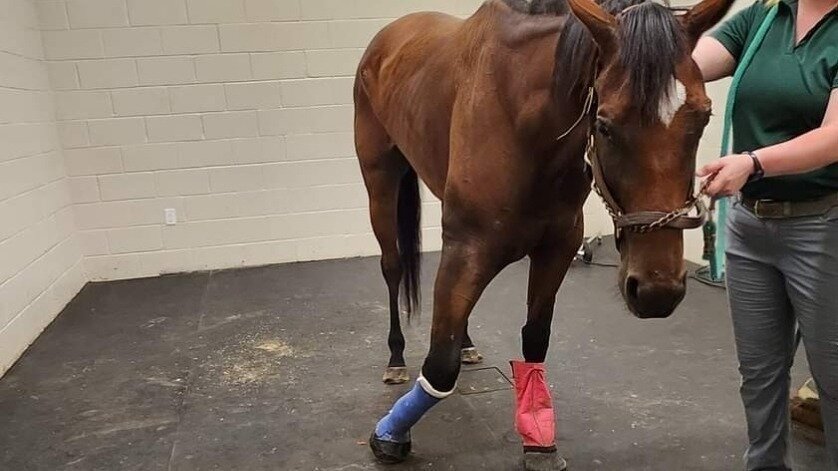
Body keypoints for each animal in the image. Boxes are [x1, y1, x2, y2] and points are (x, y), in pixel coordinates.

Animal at [354, 0, 731, 467]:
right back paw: (395, 357)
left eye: (704, 117)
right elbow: (439, 364)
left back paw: (467, 342)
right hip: (380, 182)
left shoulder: (557, 249)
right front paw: (390, 434)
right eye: (605, 125)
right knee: (391, 267)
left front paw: (537, 437)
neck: (521, 121)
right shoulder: (469, 247)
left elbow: (534, 340)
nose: (657, 291)